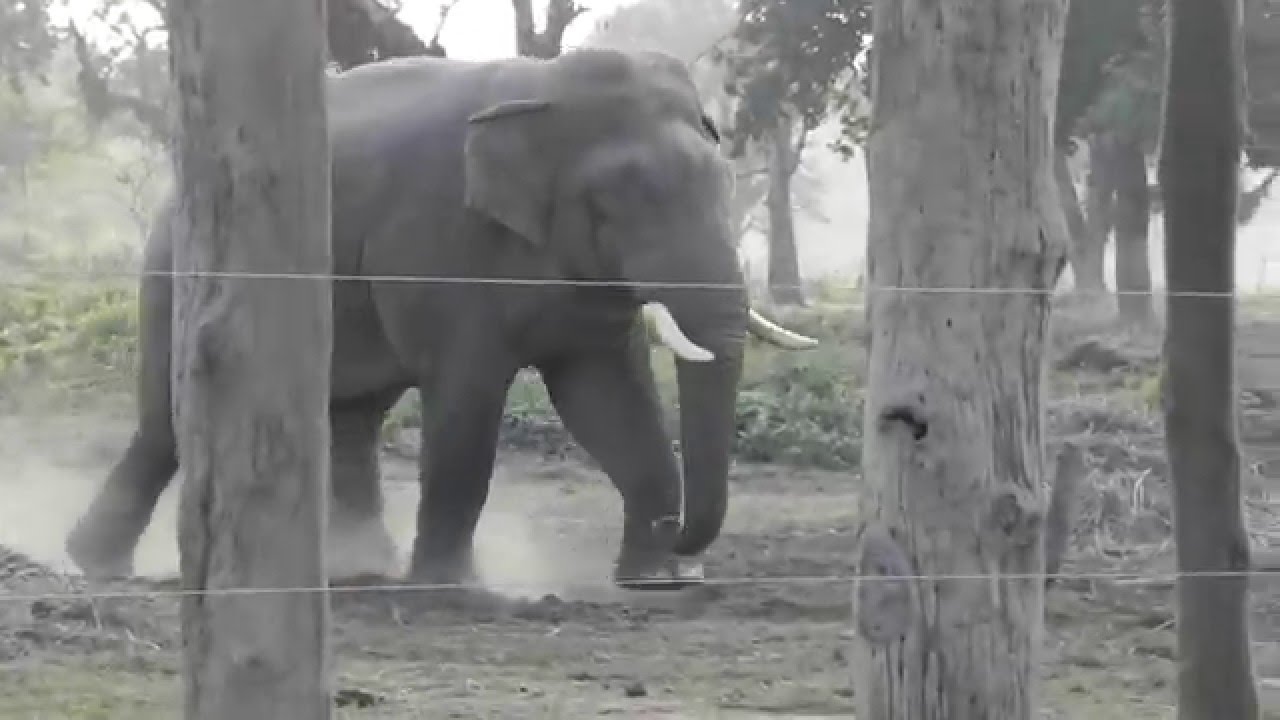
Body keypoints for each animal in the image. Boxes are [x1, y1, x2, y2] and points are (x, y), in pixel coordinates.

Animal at [64, 48, 818, 590]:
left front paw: (655, 581)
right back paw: (92, 564)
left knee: (352, 419)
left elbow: (608, 398)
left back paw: (357, 569)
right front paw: (450, 587)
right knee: (169, 423)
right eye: (614, 203)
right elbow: (467, 403)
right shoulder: (440, 242)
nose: (684, 540)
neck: (543, 86)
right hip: (175, 274)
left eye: (725, 184)